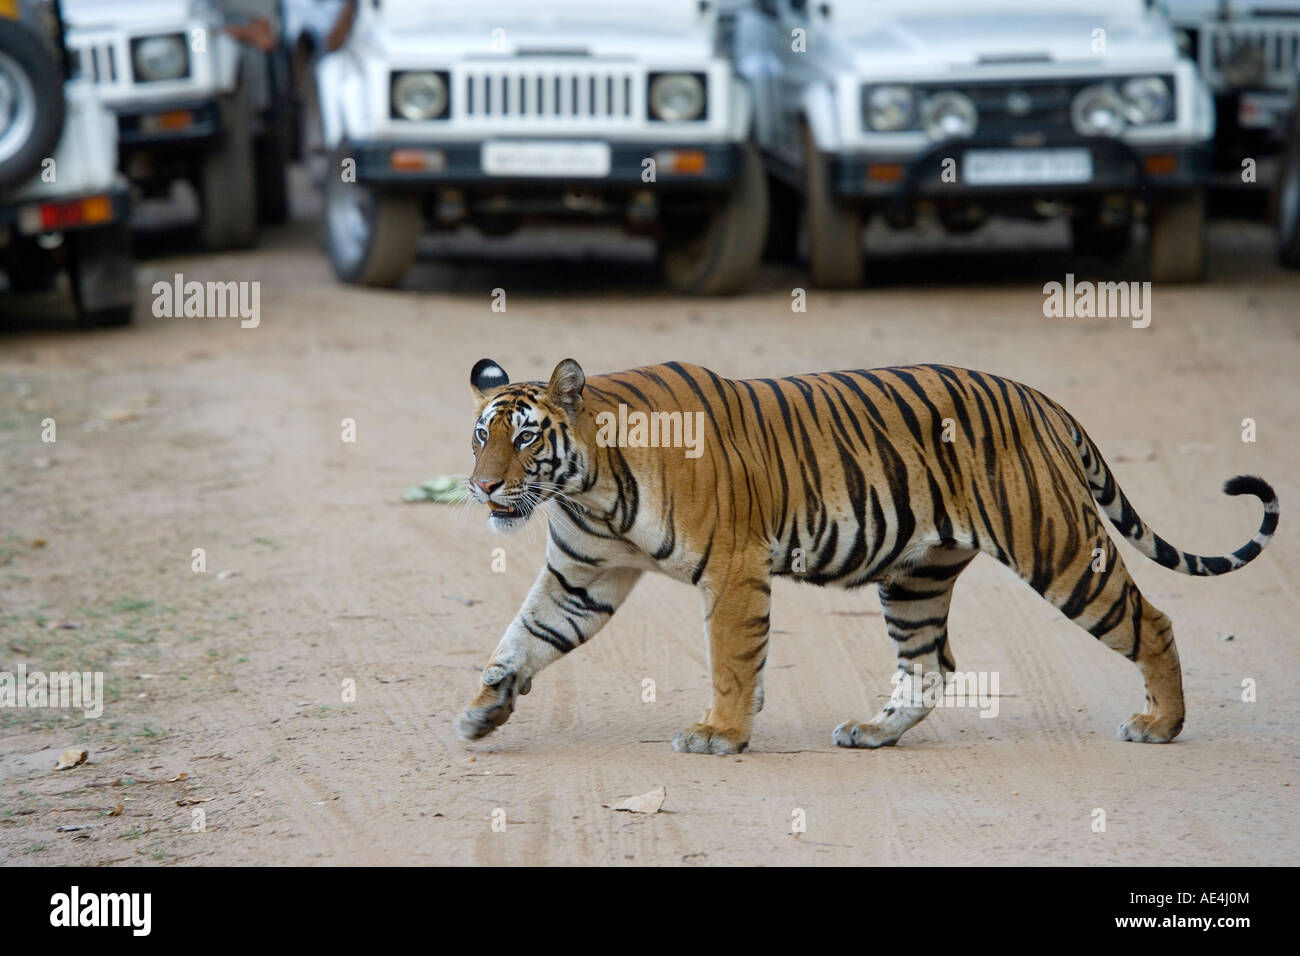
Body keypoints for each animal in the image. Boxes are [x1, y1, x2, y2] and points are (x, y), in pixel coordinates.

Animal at [454, 357, 1279, 755]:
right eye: (481, 435)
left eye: (524, 437)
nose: (482, 486)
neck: (588, 485)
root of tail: (1040, 398)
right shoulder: (581, 578)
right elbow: (522, 638)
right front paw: (484, 710)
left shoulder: (734, 569)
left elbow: (731, 660)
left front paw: (721, 734)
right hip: (917, 575)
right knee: (930, 666)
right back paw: (873, 732)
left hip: (1061, 549)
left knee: (1153, 621)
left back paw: (1161, 724)